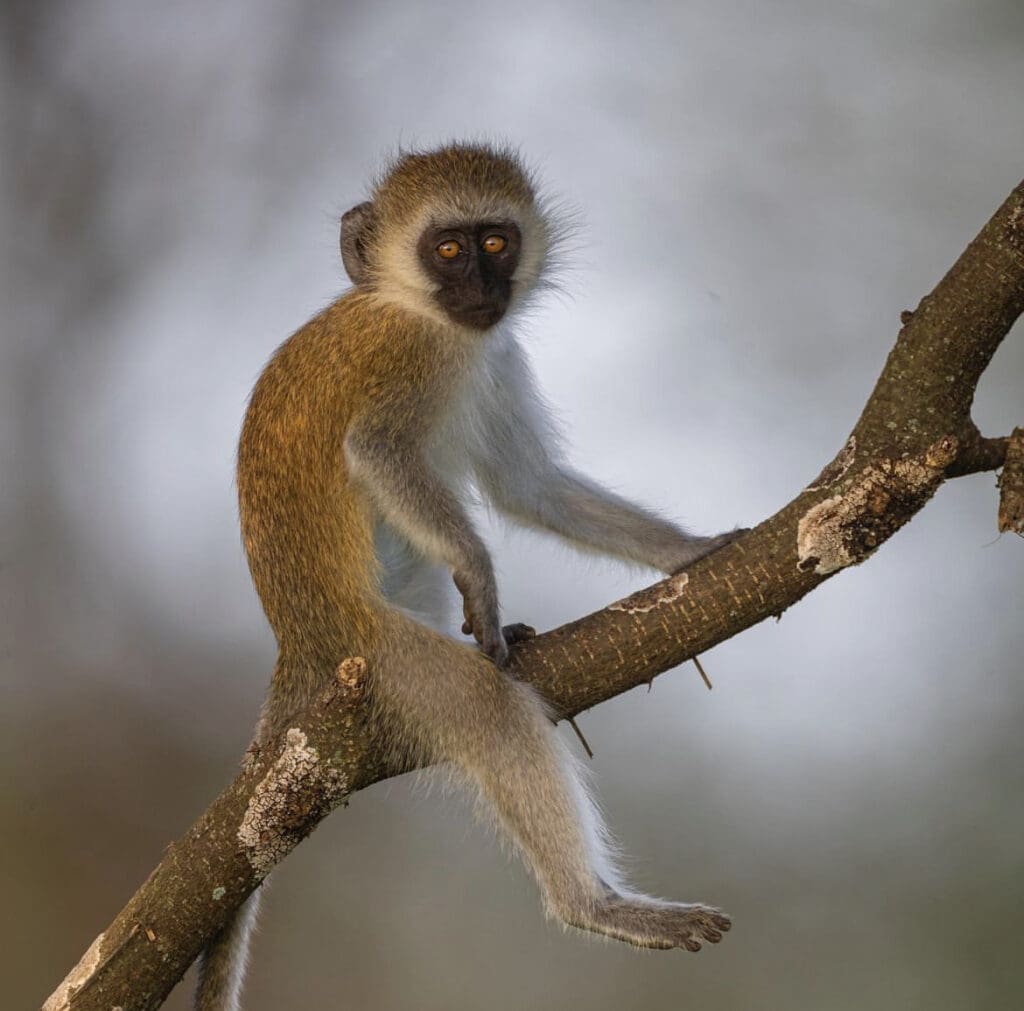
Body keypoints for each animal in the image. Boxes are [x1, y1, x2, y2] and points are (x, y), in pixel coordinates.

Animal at [196, 142, 741, 1011]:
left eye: (495, 242)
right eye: (448, 249)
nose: (483, 287)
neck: (414, 308)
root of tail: (302, 641)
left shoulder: (497, 352)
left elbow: (531, 485)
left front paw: (690, 550)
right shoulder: (414, 358)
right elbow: (378, 452)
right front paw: (482, 576)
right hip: (381, 654)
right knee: (487, 709)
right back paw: (591, 903)